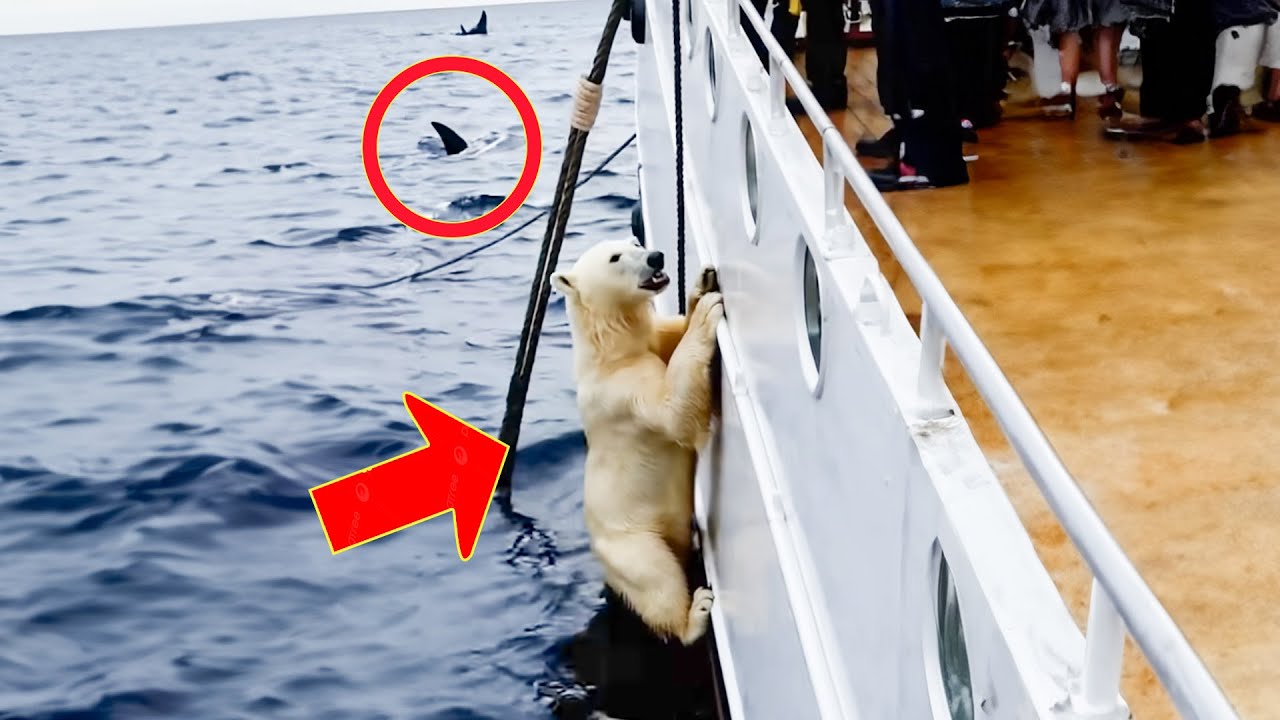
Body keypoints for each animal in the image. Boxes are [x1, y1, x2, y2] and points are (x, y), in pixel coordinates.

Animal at [551, 237, 723, 646]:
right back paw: (695, 613)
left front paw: (700, 286)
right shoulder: (622, 392)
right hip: (631, 541)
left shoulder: (651, 342)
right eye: (615, 258)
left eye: (633, 242)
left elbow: (670, 336)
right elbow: (674, 413)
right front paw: (707, 314)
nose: (656, 257)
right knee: (657, 576)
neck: (609, 351)